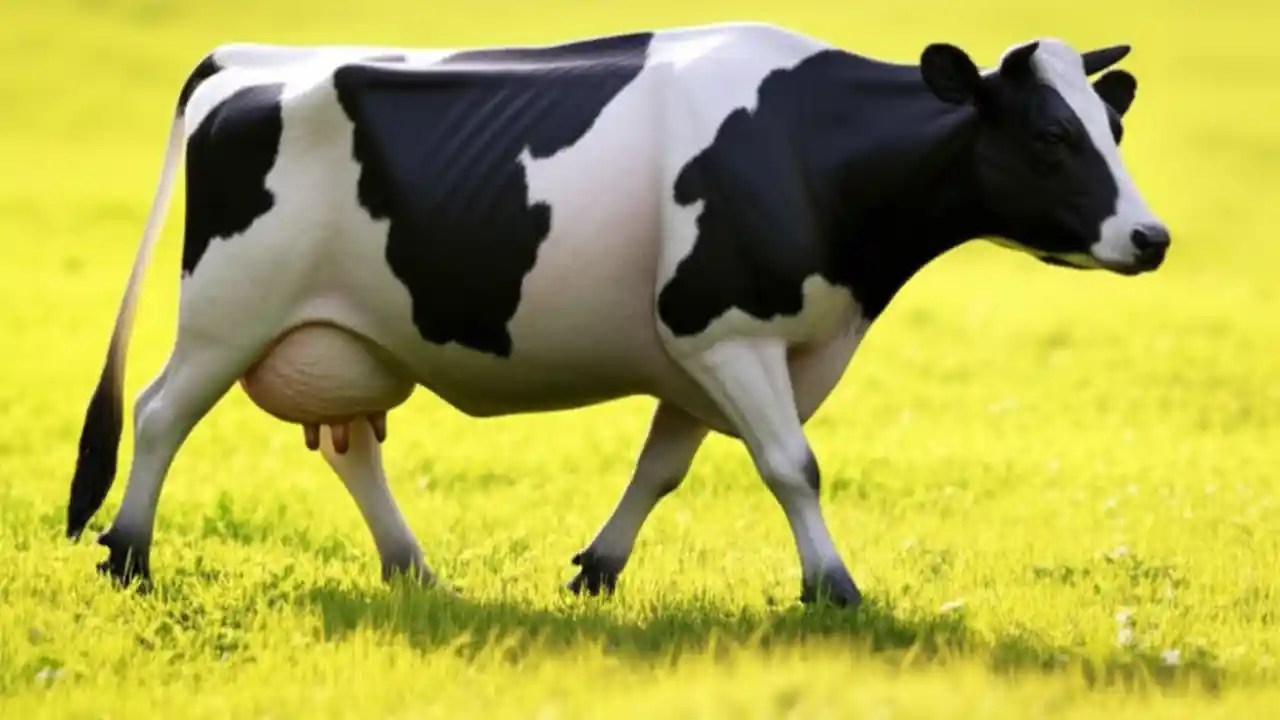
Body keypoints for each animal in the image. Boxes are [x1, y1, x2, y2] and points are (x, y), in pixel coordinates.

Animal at [65, 22, 1169, 608]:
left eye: (1111, 126)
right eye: (1047, 136)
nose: (1150, 237)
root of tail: (254, 56)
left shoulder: (712, 348)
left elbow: (663, 468)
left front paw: (596, 571)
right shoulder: (725, 326)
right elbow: (791, 466)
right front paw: (833, 587)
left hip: (345, 334)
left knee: (350, 448)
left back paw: (414, 569)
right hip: (227, 313)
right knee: (160, 413)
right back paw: (128, 555)